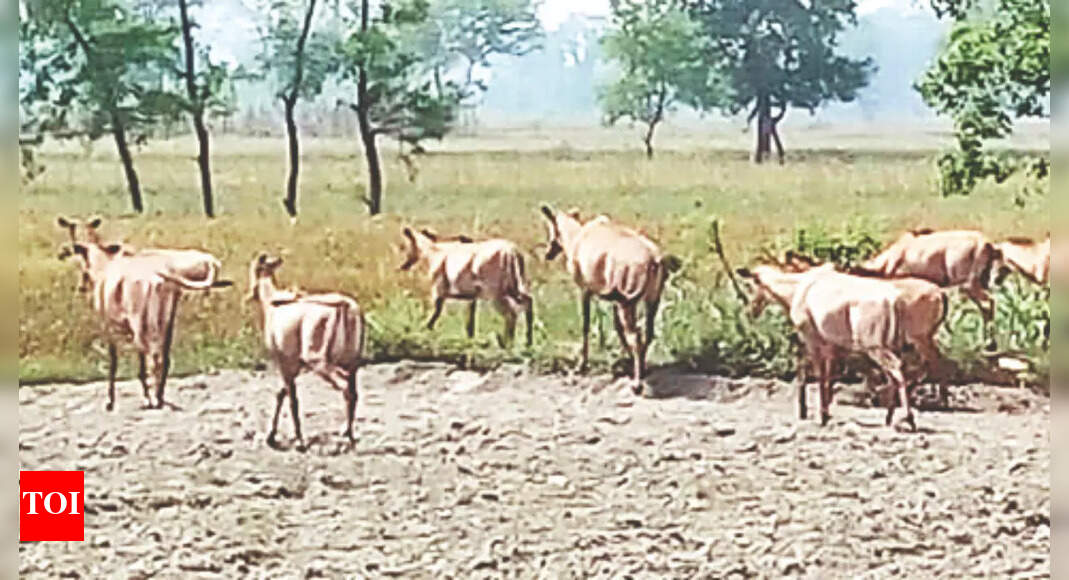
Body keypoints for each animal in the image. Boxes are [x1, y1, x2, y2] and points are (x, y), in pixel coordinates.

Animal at [62, 241, 228, 411]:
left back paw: (150, 399)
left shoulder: (108, 326)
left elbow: (114, 361)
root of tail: (157, 279)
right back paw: (159, 397)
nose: (81, 287)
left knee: (152, 357)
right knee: (164, 357)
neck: (105, 267)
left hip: (141, 323)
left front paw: (110, 402)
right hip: (166, 323)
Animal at [248, 254, 366, 449]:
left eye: (255, 269)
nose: (251, 293)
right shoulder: (294, 365)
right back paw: (348, 433)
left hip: (319, 361)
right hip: (352, 363)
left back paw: (347, 434)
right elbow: (281, 393)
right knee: (353, 391)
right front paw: (271, 436)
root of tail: (345, 305)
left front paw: (298, 440)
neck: (273, 302)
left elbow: (292, 399)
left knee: (345, 388)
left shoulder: (285, 362)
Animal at [399, 227, 533, 347]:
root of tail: (512, 252)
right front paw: (470, 340)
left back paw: (507, 343)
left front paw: (425, 330)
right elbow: (470, 322)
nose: (403, 266)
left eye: (407, 246)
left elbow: (436, 313)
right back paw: (525, 342)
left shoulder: (438, 291)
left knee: (511, 313)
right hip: (511, 288)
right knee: (527, 303)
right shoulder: (471, 297)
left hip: (496, 293)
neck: (435, 253)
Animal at [539, 205, 672, 390]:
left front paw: (581, 365)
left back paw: (637, 383)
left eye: (551, 226)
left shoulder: (585, 290)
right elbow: (617, 327)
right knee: (648, 332)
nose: (548, 254)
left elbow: (586, 324)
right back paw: (642, 369)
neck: (577, 236)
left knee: (635, 336)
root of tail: (654, 260)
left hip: (628, 303)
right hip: (651, 301)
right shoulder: (615, 300)